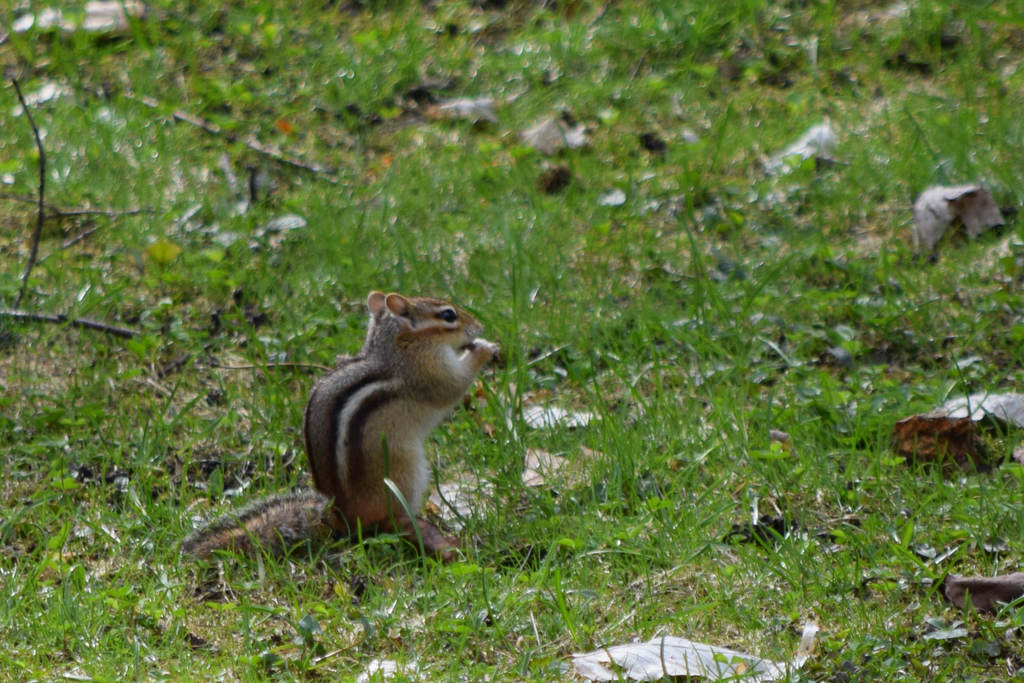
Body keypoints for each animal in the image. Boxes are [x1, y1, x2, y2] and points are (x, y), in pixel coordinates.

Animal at [181, 291, 498, 562]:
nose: (480, 326)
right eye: (448, 315)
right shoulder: (428, 372)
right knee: (392, 522)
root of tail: (337, 514)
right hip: (406, 473)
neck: (395, 349)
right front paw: (484, 349)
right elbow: (454, 385)